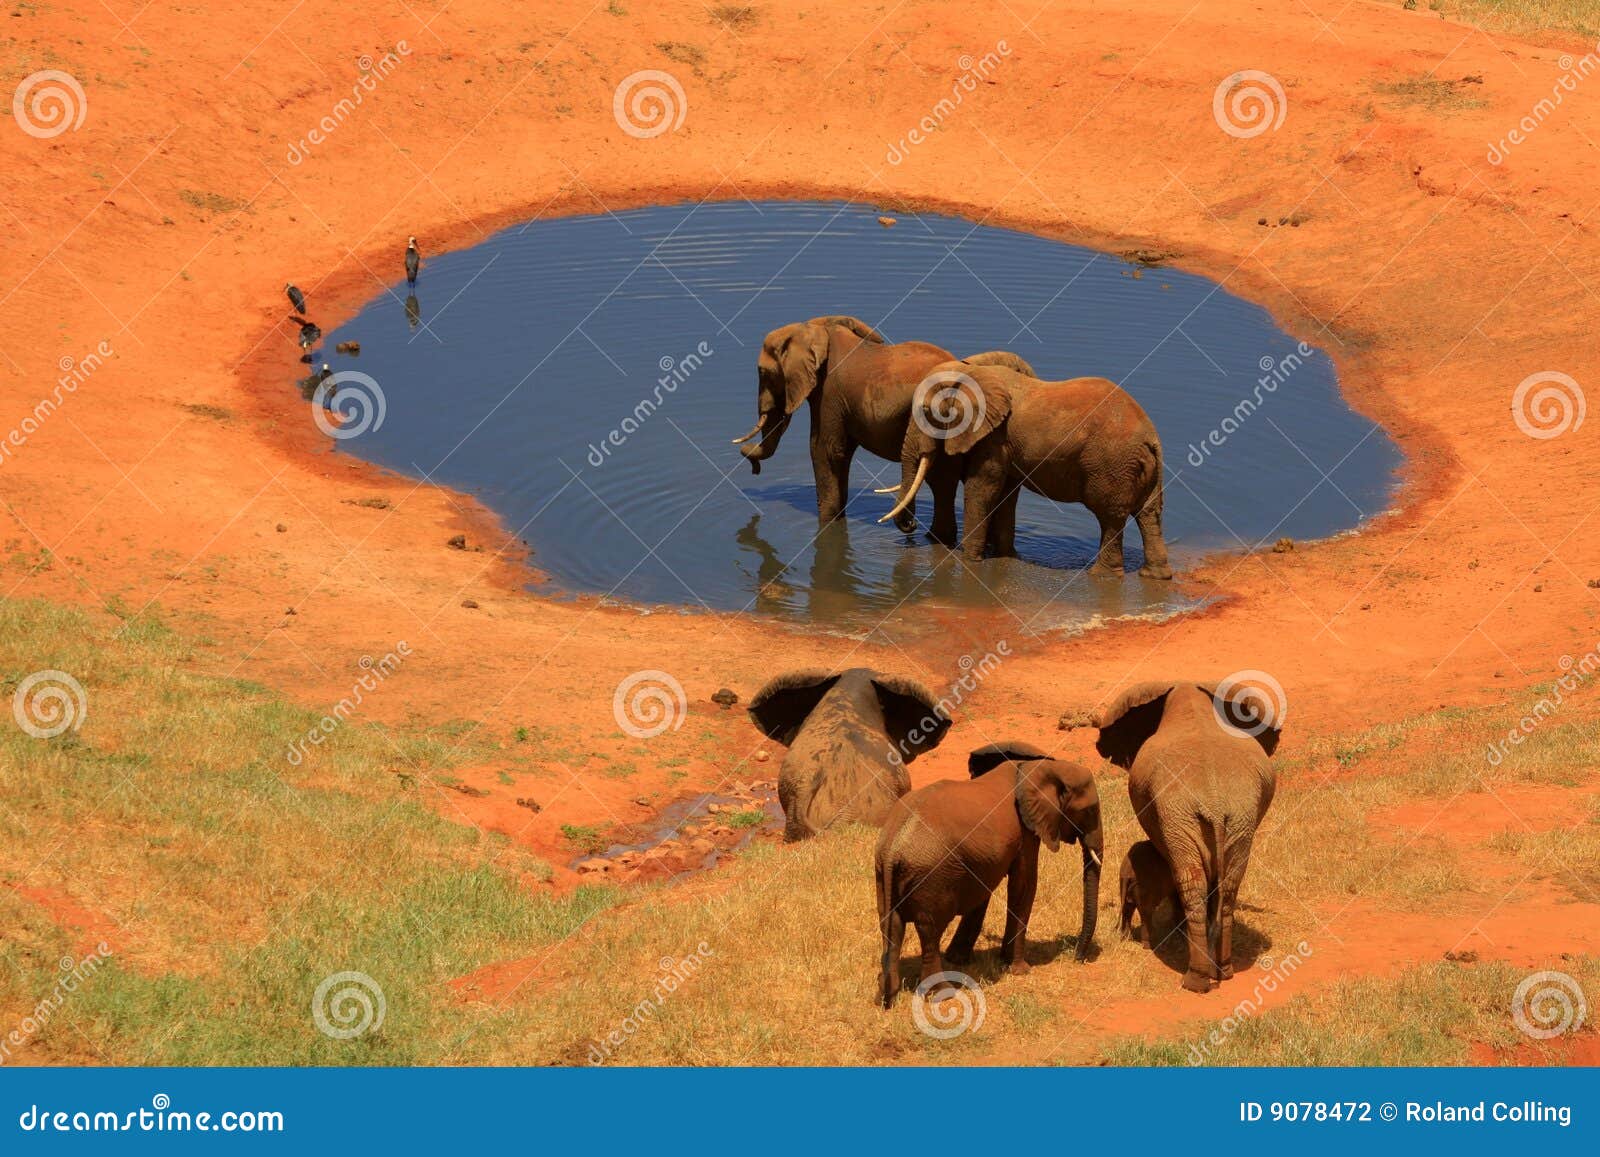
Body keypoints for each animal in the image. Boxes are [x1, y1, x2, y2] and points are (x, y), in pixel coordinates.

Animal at [734, 315, 1034, 545]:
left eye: (762, 372)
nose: (752, 466)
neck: (815, 327)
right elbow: (841, 455)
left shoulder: (829, 394)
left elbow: (826, 452)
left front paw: (828, 523)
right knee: (943, 483)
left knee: (939, 480)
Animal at [874, 740, 1103, 1008]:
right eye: (1090, 811)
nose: (1077, 957)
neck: (1037, 768)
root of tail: (893, 848)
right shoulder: (1026, 831)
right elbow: (1024, 885)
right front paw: (1020, 970)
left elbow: (987, 891)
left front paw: (968, 959)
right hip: (933, 877)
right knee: (929, 930)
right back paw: (943, 994)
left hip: (885, 874)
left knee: (892, 925)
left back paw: (886, 996)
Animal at [879, 361, 1173, 578]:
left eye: (926, 410)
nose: (910, 527)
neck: (970, 372)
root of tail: (1151, 437)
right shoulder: (1004, 442)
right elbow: (1006, 494)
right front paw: (1005, 557)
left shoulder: (993, 437)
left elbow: (982, 488)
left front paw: (969, 561)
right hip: (1141, 467)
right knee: (1149, 513)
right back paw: (1155, 576)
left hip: (1111, 464)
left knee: (1110, 516)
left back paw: (1101, 575)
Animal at [1091, 680, 1281, 992]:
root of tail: (1215, 802)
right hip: (1230, 816)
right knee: (1222, 885)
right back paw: (1221, 972)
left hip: (1191, 815)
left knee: (1194, 883)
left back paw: (1196, 980)